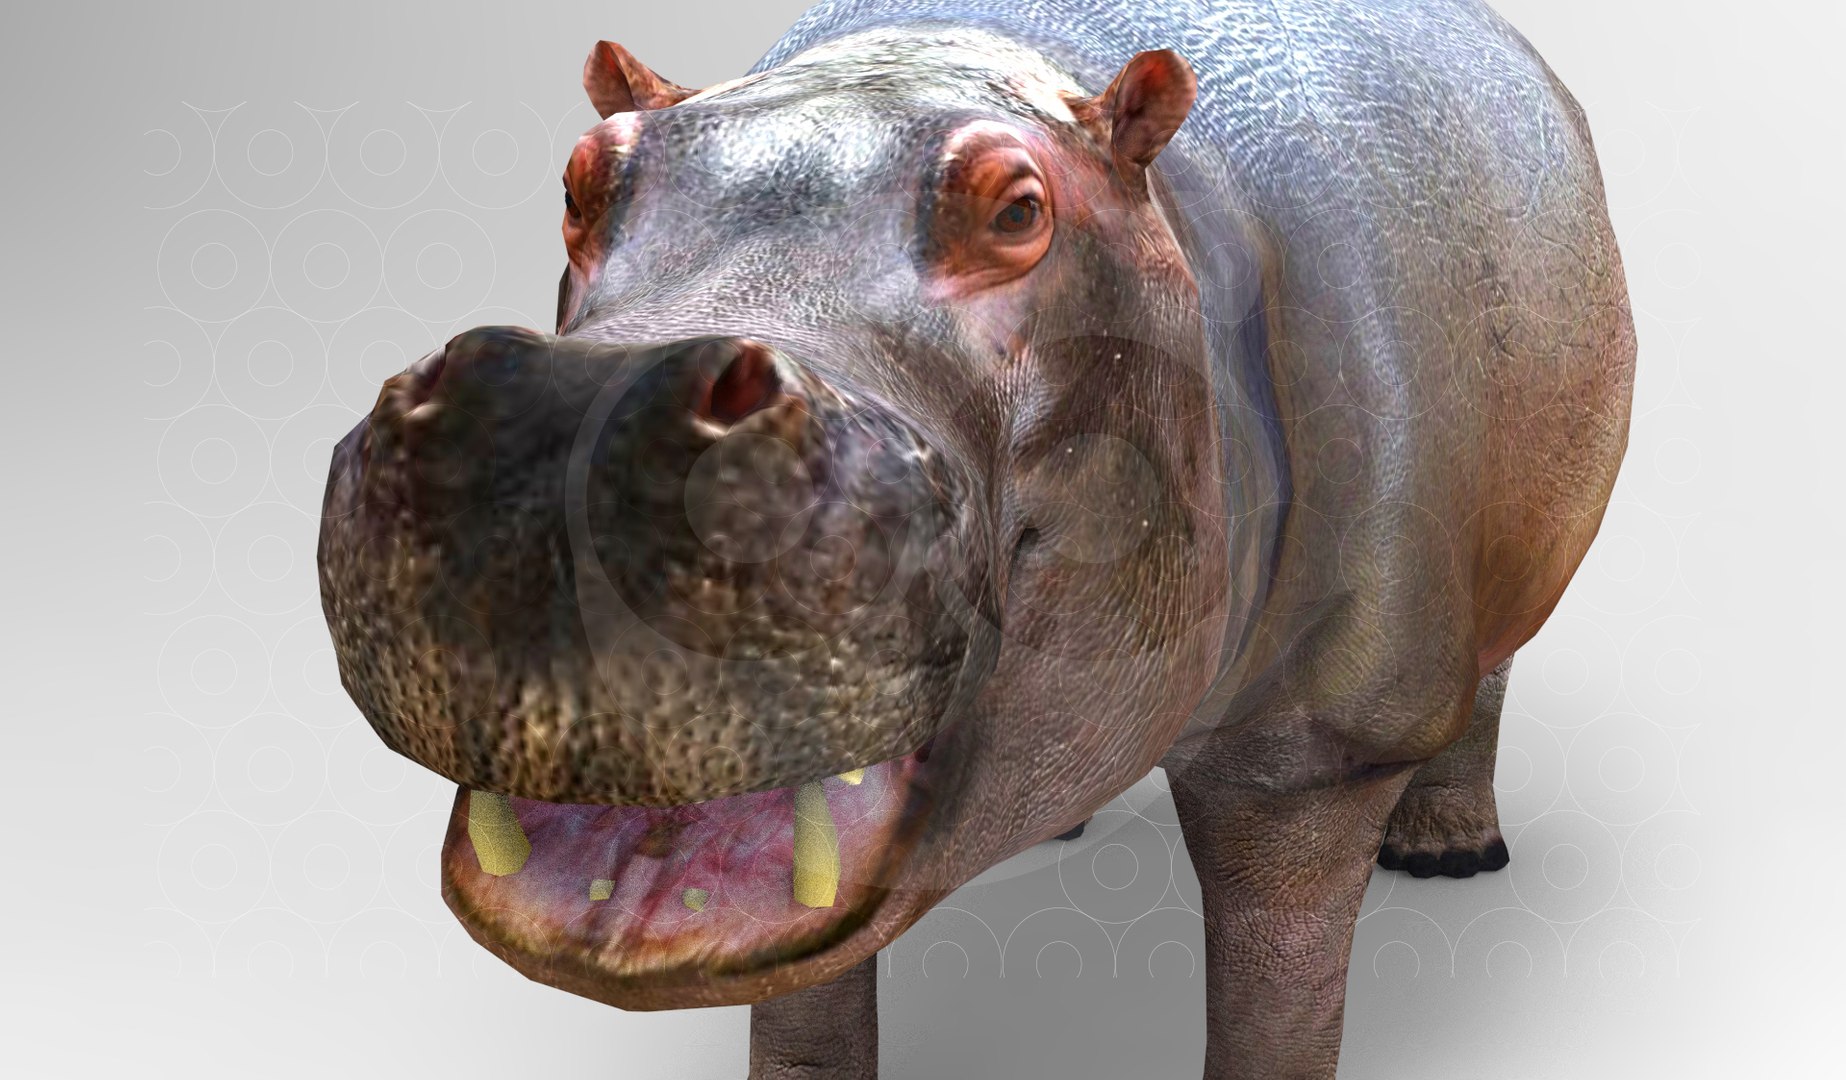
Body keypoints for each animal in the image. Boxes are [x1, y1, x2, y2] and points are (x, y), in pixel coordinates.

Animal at [316, 0, 1635, 1074]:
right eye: (581, 181)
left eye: (1018, 209)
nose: (560, 411)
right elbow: (808, 1001)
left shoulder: (1310, 754)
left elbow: (1278, 1001)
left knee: (1492, 671)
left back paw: (1449, 851)